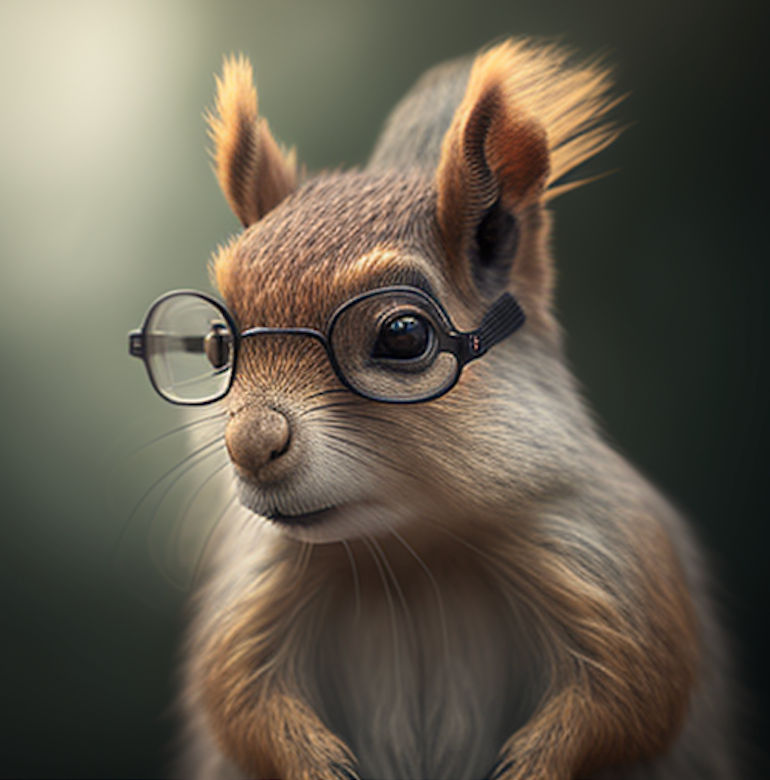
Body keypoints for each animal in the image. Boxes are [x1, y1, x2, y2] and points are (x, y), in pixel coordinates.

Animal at [147, 39, 740, 780]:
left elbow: (638, 694)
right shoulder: (255, 590)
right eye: (217, 344)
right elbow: (236, 696)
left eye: (404, 335)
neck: (410, 551)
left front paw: (533, 764)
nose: (251, 444)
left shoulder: (609, 556)